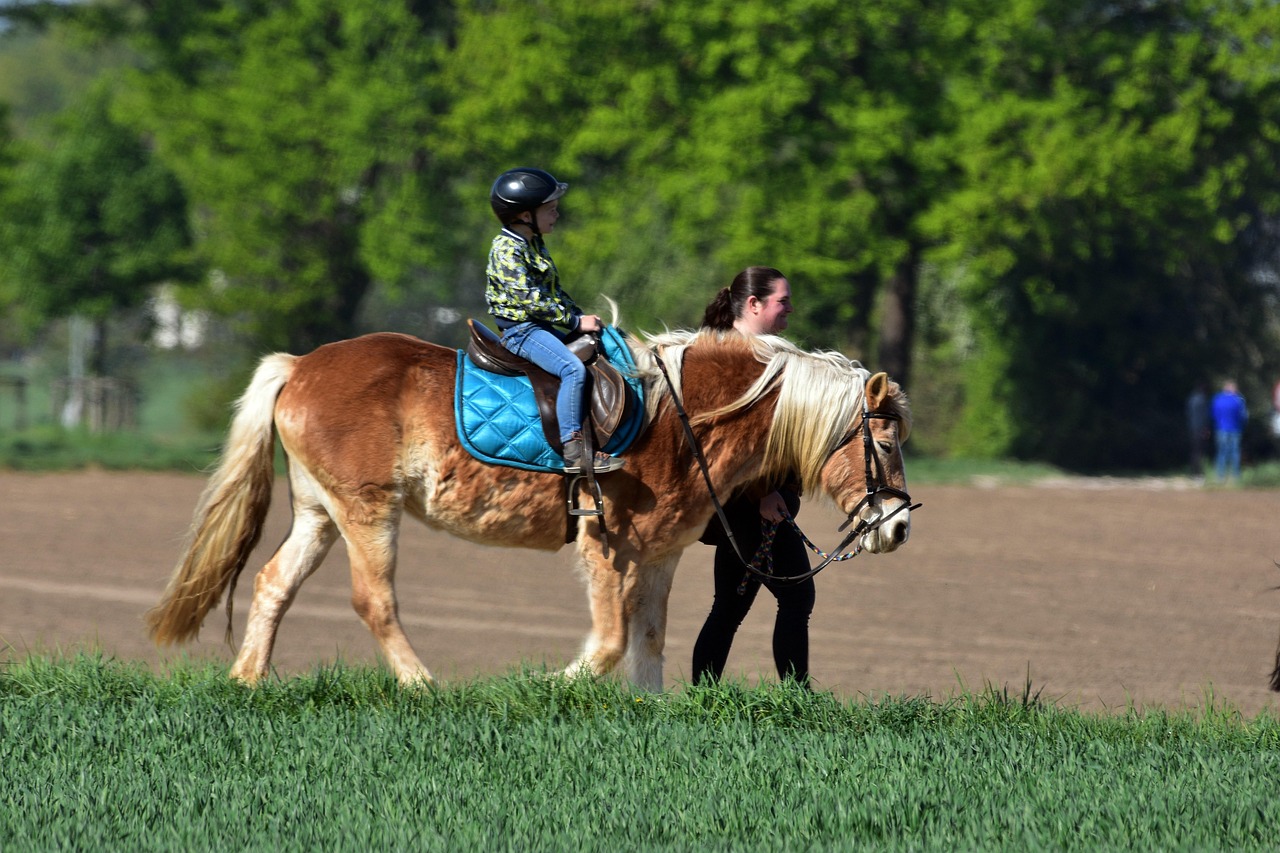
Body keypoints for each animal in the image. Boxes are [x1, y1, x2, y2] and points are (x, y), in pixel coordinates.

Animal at [146, 327, 914, 690]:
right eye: (884, 440)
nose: (901, 524)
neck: (683, 419)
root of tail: (299, 365)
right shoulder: (606, 546)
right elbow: (609, 643)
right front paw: (548, 685)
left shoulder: (660, 557)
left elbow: (650, 644)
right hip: (367, 510)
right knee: (373, 601)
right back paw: (424, 686)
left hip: (319, 512)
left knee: (273, 581)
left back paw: (249, 679)